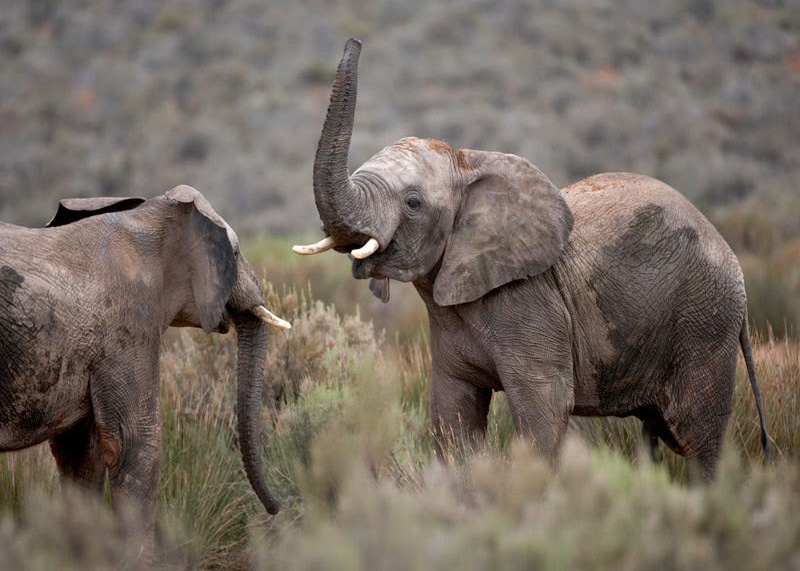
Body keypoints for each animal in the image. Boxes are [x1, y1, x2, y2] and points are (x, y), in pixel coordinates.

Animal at [0, 185, 290, 560]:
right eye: (236, 253)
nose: (278, 508)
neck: (146, 219)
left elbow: (80, 453)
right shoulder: (128, 328)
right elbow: (135, 443)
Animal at [293, 38, 770, 479]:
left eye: (412, 203)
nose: (355, 41)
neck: (468, 162)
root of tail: (733, 260)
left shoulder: (530, 302)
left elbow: (544, 409)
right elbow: (452, 414)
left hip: (704, 321)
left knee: (697, 437)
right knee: (655, 431)